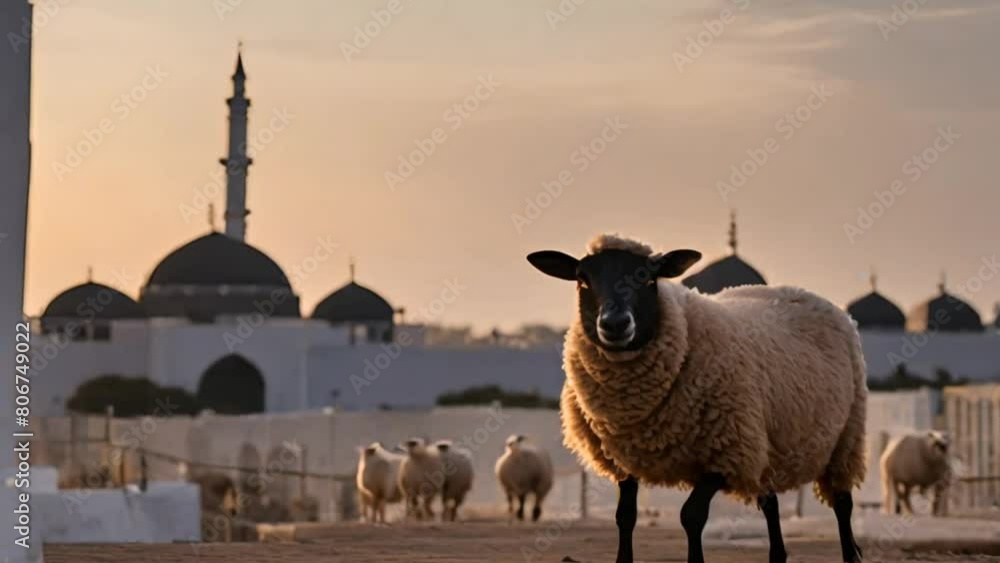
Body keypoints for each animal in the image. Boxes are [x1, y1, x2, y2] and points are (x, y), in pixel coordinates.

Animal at [527, 233, 868, 563]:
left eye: (650, 279)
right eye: (582, 279)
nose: (615, 324)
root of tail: (804, 292)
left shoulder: (723, 453)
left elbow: (691, 516)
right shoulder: (625, 461)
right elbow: (625, 517)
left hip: (845, 440)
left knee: (843, 504)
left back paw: (851, 555)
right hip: (765, 446)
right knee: (770, 504)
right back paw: (777, 556)